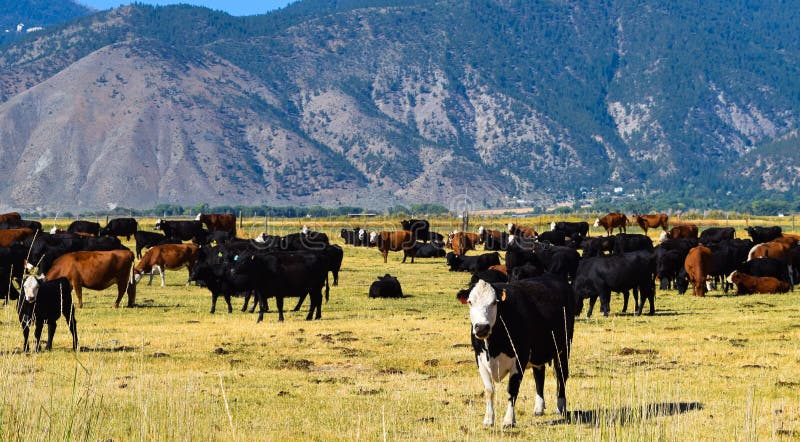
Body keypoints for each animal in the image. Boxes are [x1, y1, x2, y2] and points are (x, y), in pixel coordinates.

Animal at [456, 276, 575, 427]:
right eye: (470, 302)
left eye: (494, 302)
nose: (482, 327)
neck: (493, 348)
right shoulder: (480, 359)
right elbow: (489, 390)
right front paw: (489, 419)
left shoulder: (519, 359)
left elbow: (512, 390)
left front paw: (508, 420)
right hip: (538, 352)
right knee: (539, 376)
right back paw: (539, 408)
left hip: (564, 348)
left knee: (561, 375)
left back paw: (561, 407)